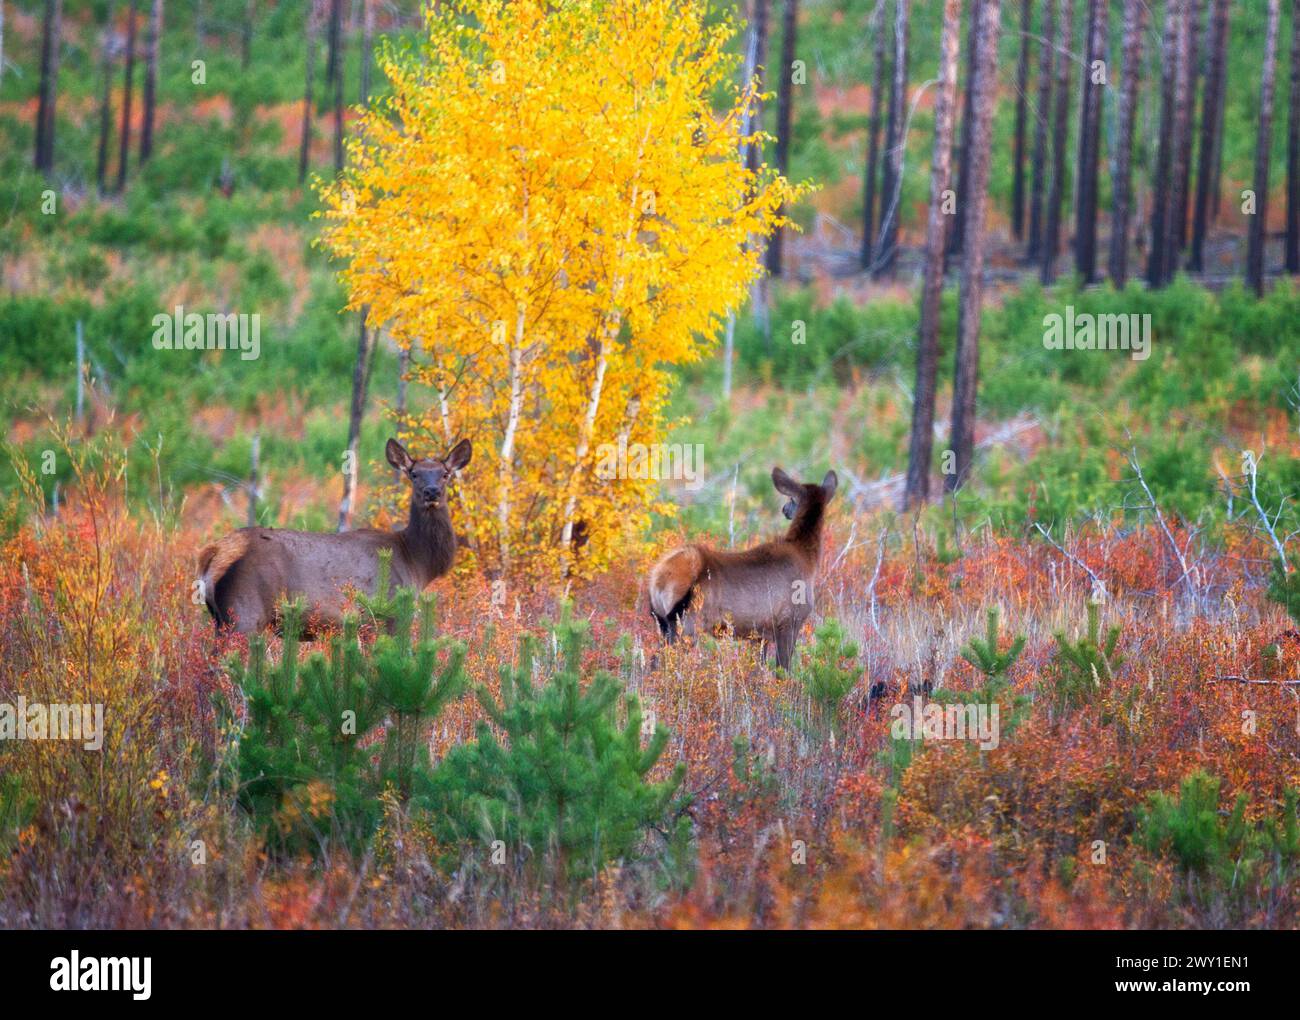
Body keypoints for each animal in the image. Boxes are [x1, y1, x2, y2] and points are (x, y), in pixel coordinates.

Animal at [197, 438, 472, 636]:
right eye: (414, 474)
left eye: (444, 474)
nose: (432, 492)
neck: (417, 563)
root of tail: (214, 553)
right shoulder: (390, 614)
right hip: (244, 613)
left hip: (220, 620)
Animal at [647, 466, 838, 670]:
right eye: (791, 499)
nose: (785, 510)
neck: (807, 558)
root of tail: (658, 580)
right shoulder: (789, 621)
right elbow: (783, 669)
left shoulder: (760, 633)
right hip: (689, 622)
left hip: (663, 621)